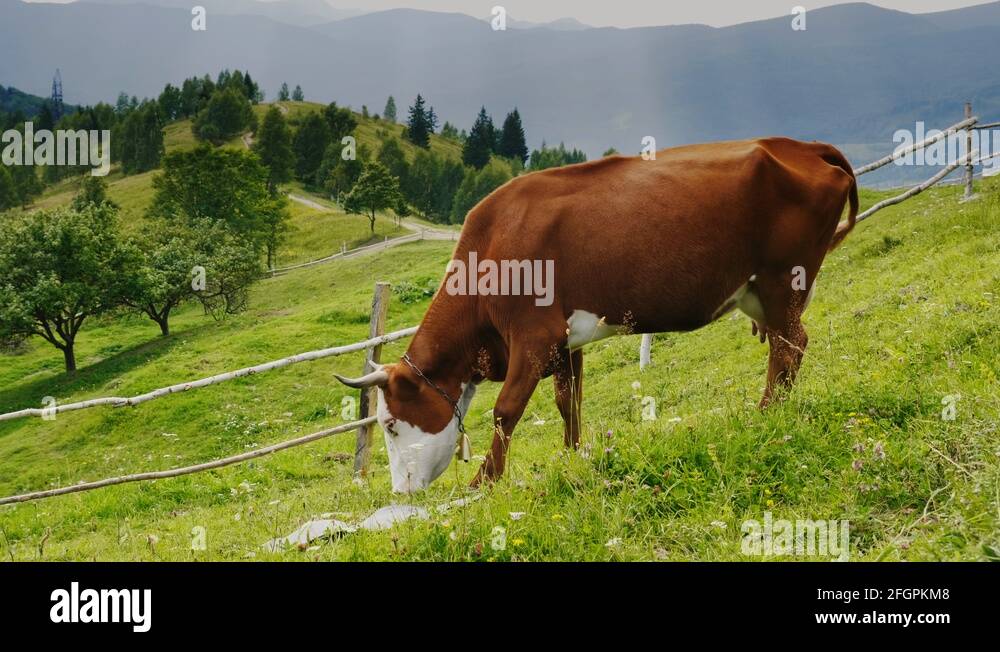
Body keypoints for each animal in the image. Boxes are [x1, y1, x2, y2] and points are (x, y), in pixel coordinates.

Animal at [336, 137, 859, 493]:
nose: (401, 492)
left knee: (790, 347)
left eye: (389, 423)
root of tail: (799, 145)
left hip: (783, 281)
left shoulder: (533, 334)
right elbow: (570, 401)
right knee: (785, 349)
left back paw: (767, 415)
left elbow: (507, 410)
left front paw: (484, 481)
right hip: (763, 292)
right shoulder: (564, 341)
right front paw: (573, 457)